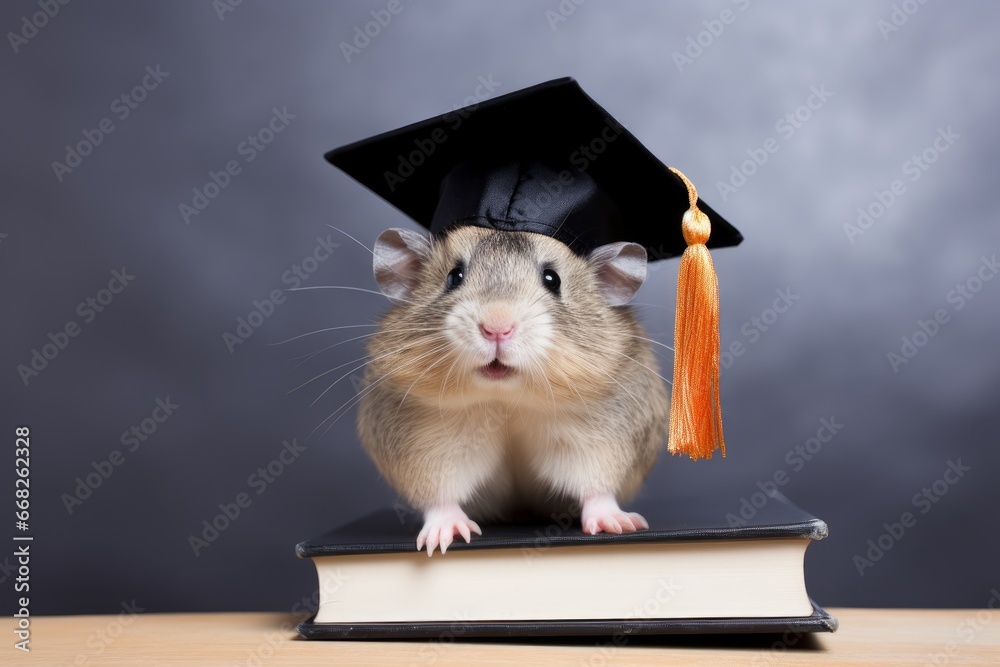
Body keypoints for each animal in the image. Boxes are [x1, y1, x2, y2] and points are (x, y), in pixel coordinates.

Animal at [357, 225, 670, 555]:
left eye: (552, 280)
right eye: (454, 276)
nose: (497, 328)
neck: (506, 396)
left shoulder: (599, 438)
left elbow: (595, 487)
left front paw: (618, 524)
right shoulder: (428, 442)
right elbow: (441, 494)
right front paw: (443, 536)